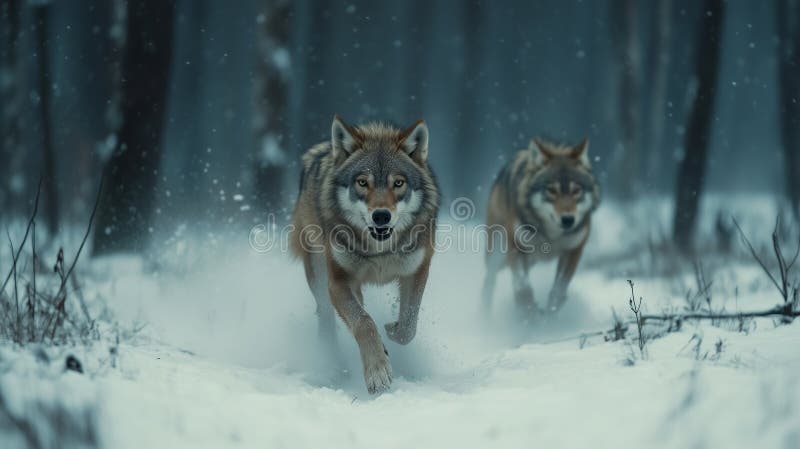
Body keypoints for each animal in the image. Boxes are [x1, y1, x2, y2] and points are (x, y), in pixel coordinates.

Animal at [290, 115, 439, 394]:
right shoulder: (338, 282)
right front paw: (377, 372)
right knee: (327, 318)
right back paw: (332, 364)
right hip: (318, 276)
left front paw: (392, 331)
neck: (380, 251)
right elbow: (364, 322)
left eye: (398, 183)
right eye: (362, 182)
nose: (381, 216)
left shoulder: (417, 271)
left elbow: (408, 325)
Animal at [481, 137, 600, 315]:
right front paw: (529, 311)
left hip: (530, 260)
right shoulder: (514, 245)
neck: (551, 235)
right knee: (489, 280)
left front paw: (551, 310)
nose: (568, 220)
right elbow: (522, 285)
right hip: (497, 254)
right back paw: (484, 317)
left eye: (576, 191)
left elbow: (559, 287)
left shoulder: (574, 250)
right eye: (551, 190)